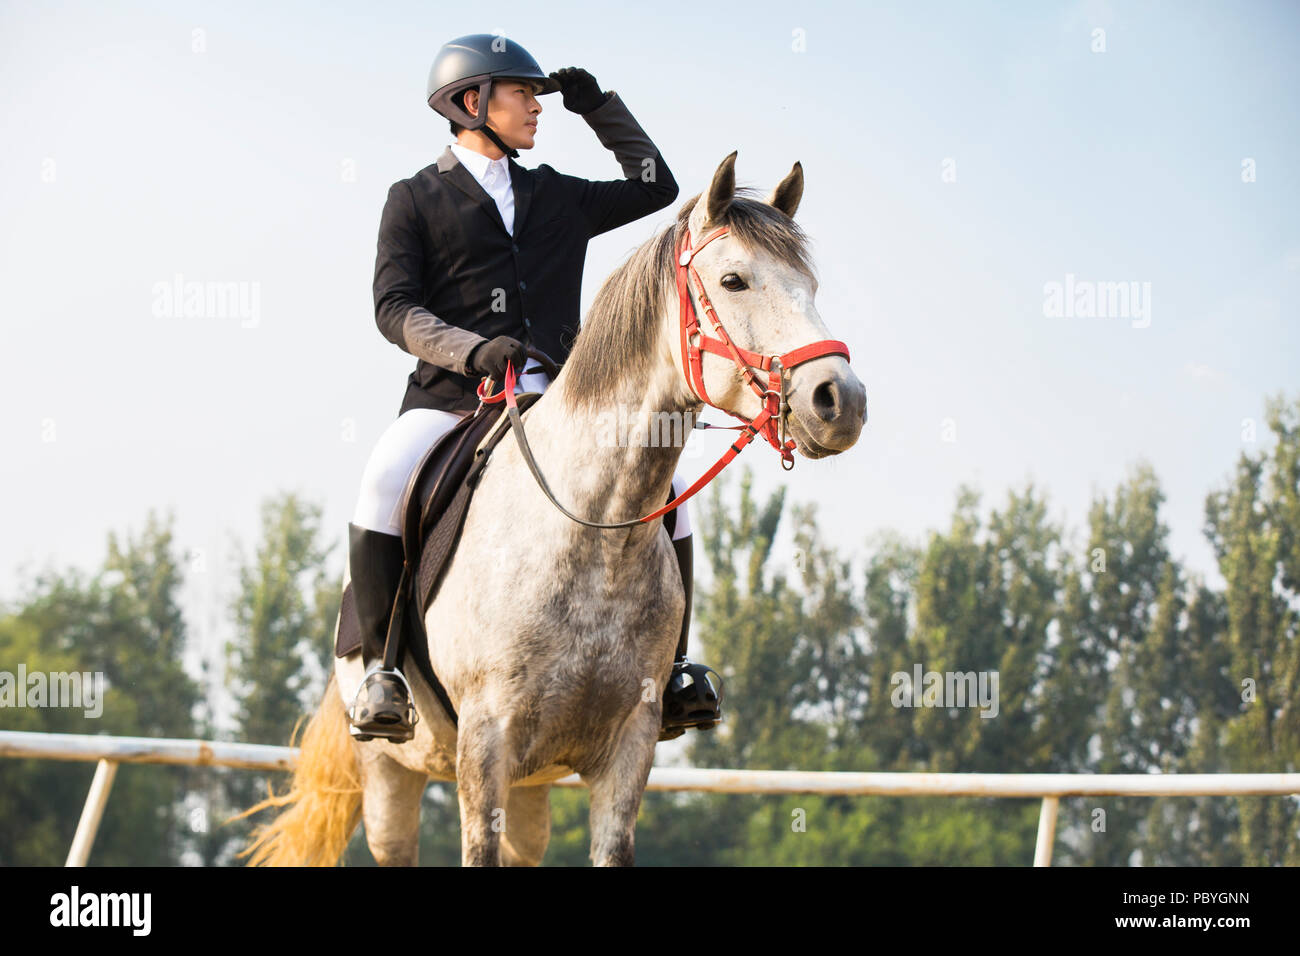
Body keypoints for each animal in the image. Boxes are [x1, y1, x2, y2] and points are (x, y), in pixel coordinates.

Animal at [236, 151, 867, 866]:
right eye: (734, 280)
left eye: (810, 284)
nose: (841, 401)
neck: (594, 535)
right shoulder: (485, 746)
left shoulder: (629, 746)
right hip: (390, 774)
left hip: (532, 786)